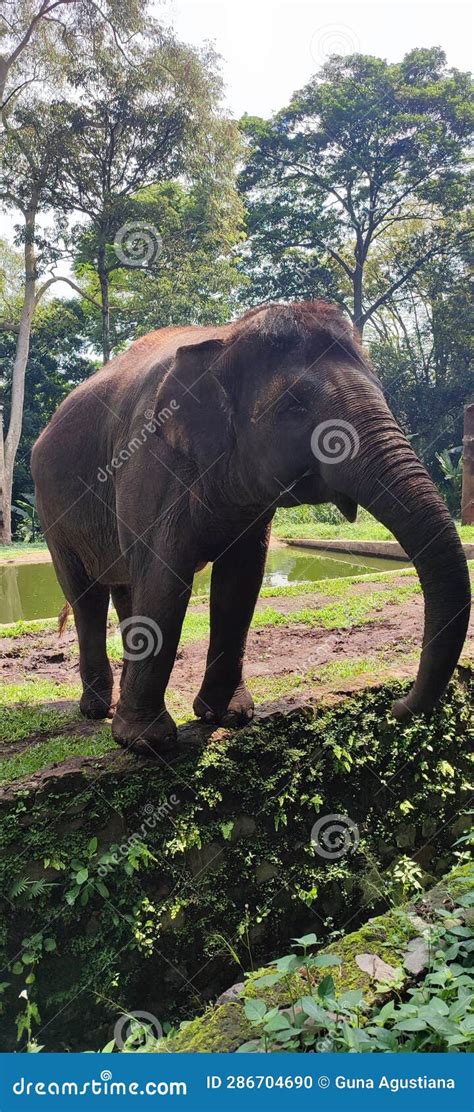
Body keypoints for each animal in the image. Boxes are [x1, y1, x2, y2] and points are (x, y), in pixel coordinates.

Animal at [32, 300, 471, 756]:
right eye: (293, 406)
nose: (398, 706)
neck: (227, 337)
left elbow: (240, 581)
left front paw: (228, 717)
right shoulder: (148, 462)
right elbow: (164, 579)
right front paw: (146, 742)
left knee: (123, 589)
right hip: (50, 509)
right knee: (86, 596)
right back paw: (96, 710)